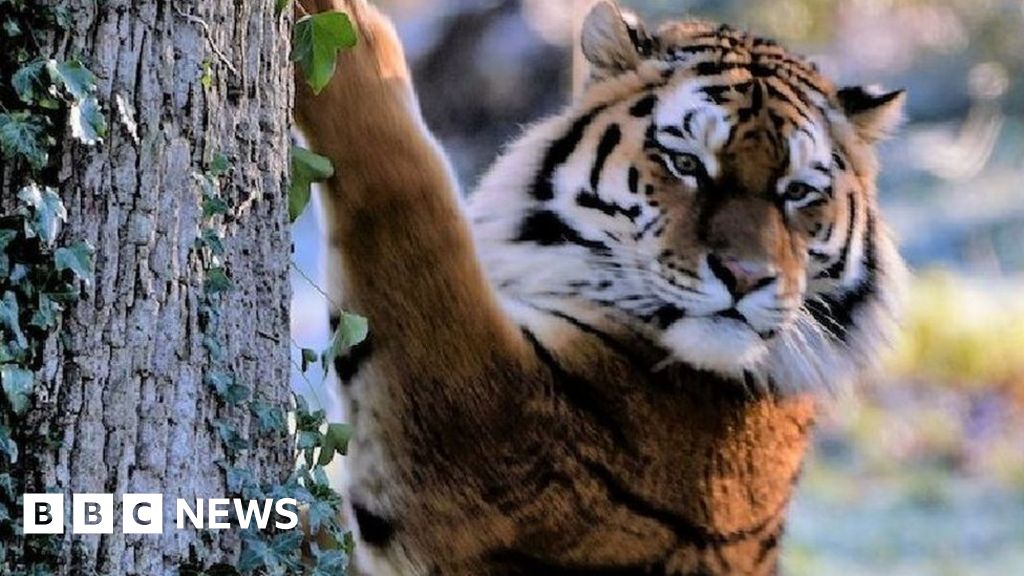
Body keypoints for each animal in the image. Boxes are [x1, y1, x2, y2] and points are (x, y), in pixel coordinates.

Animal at [293, 0, 907, 574]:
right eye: (686, 163)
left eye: (797, 191)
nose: (746, 275)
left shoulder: (495, 437)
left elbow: (407, 199)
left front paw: (338, 23)